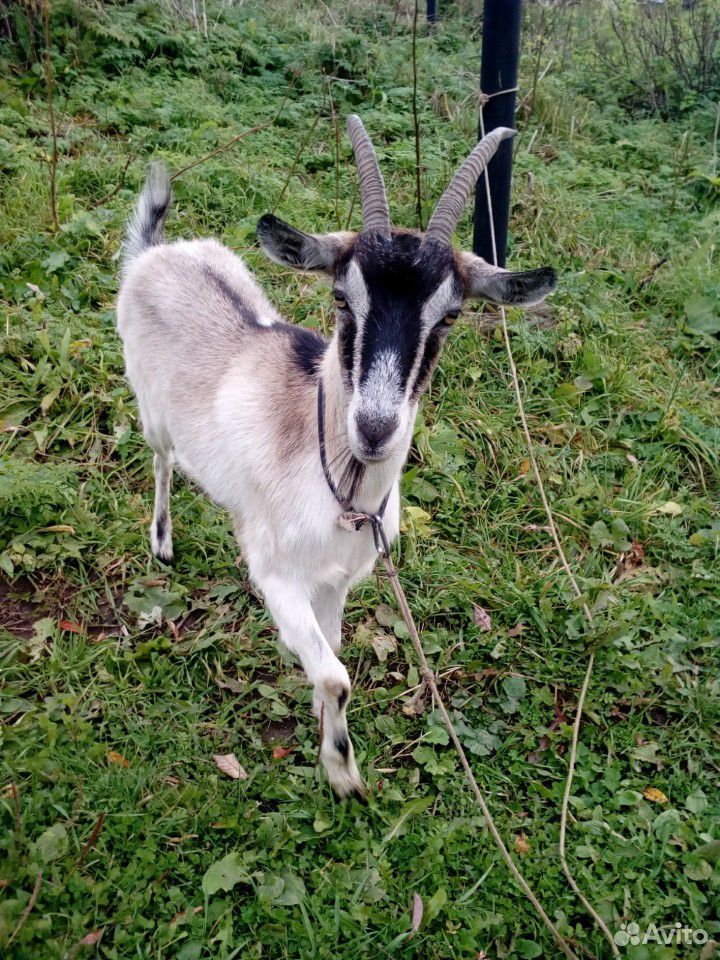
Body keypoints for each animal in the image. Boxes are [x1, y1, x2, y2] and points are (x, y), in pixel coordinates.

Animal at [116, 116, 556, 798]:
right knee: (162, 462)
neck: (339, 490)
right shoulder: (276, 575)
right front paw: (343, 772)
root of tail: (153, 252)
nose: (375, 427)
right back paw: (162, 542)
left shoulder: (335, 580)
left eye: (450, 316)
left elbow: (334, 655)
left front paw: (321, 727)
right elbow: (338, 675)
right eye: (342, 298)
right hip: (152, 410)